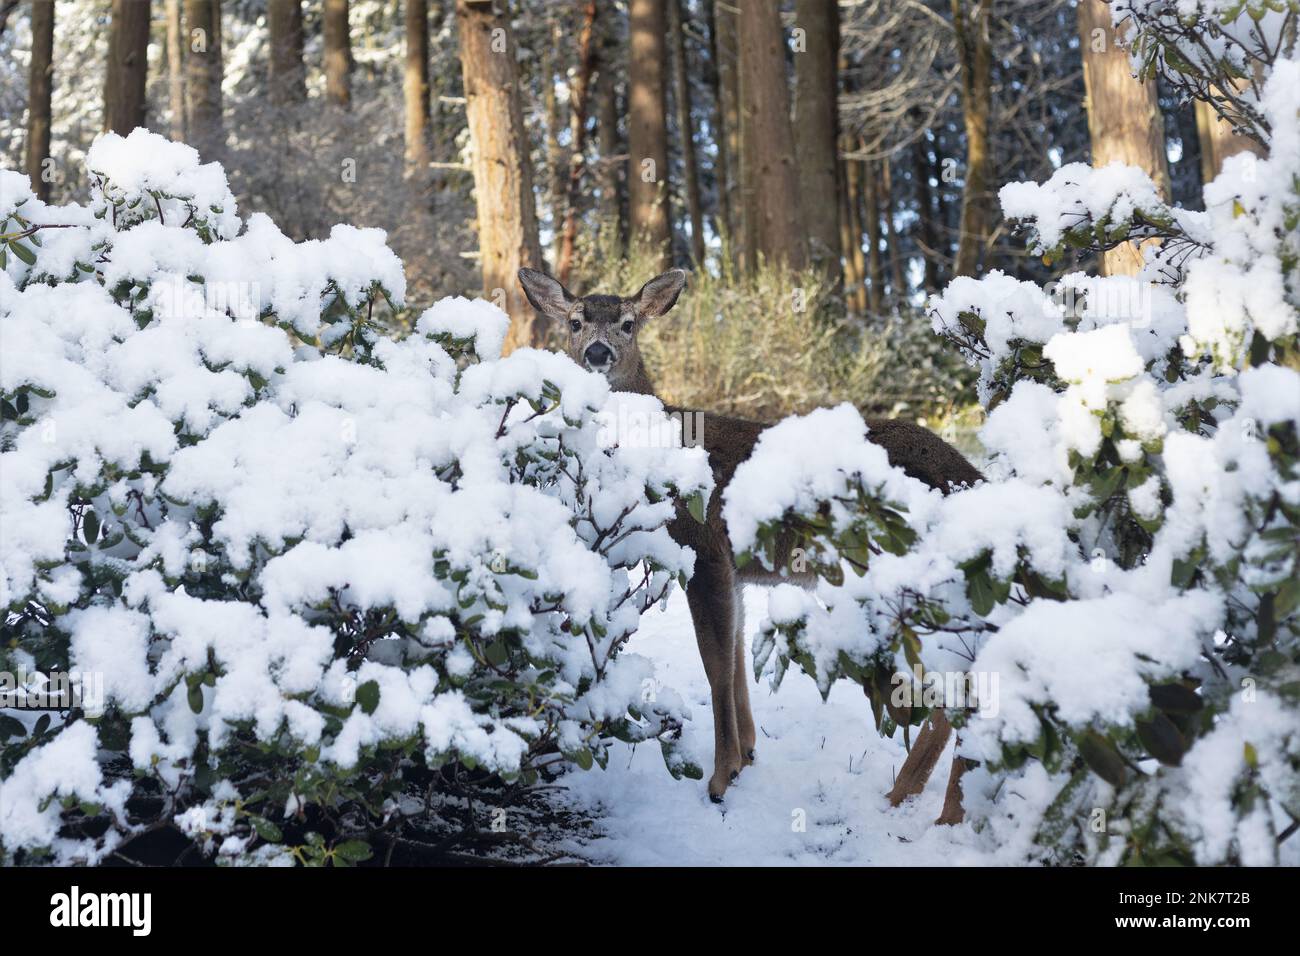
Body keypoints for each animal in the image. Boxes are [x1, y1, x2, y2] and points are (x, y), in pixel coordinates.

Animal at [518, 267, 982, 811]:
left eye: (629, 324)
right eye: (574, 322)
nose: (596, 352)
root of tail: (971, 479)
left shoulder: (702, 547)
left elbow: (715, 665)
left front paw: (721, 777)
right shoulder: (734, 567)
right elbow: (736, 656)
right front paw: (749, 752)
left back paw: (926, 806)